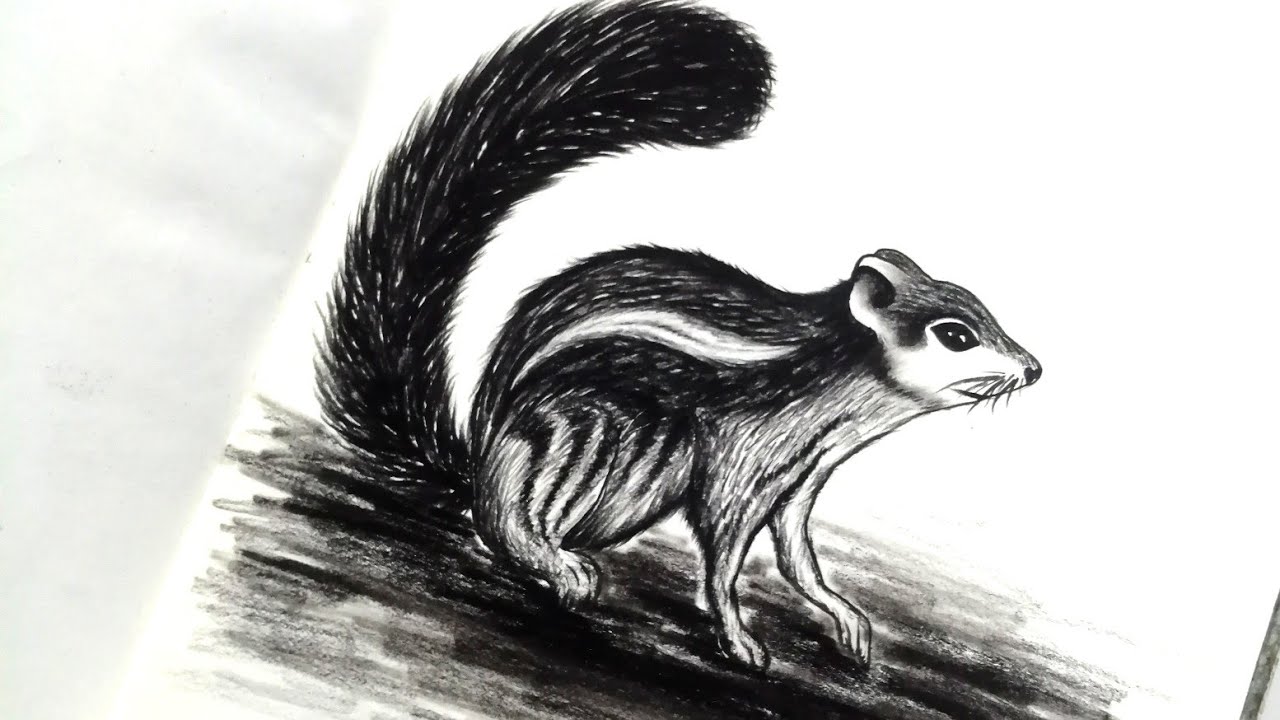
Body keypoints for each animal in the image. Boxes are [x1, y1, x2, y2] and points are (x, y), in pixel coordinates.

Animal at [315, 0, 1042, 672]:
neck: (838, 391)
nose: (1034, 368)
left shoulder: (802, 478)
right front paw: (738, 634)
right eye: (955, 334)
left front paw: (843, 616)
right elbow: (723, 548)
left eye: (981, 309)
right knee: (501, 518)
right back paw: (554, 561)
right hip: (583, 431)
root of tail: (476, 452)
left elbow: (797, 555)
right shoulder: (743, 452)